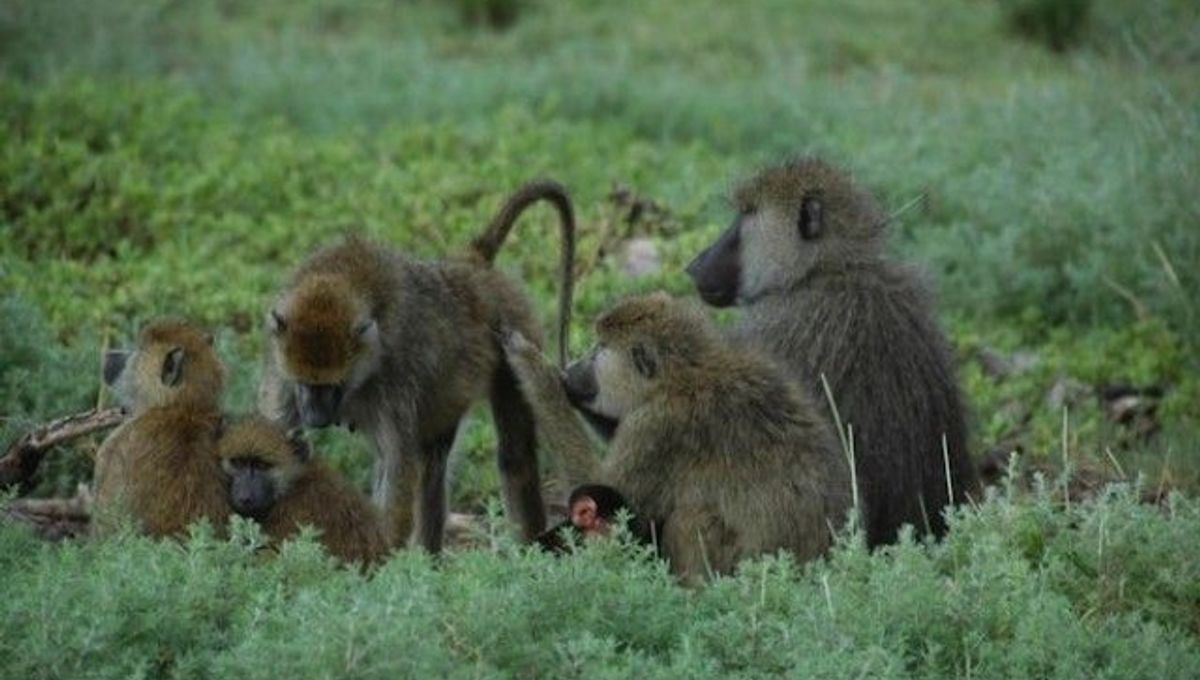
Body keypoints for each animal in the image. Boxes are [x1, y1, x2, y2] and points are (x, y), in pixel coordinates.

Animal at [258, 180, 575, 552]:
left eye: (331, 387)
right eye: (305, 384)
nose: (315, 417)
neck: (342, 280)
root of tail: (471, 265)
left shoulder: (394, 375)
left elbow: (399, 463)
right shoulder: (281, 366)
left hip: (516, 326)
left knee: (513, 456)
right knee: (433, 463)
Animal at [504, 293, 852, 585]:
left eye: (600, 348)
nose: (572, 369)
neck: (684, 376)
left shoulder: (655, 427)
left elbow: (602, 495)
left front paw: (533, 368)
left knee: (691, 519)